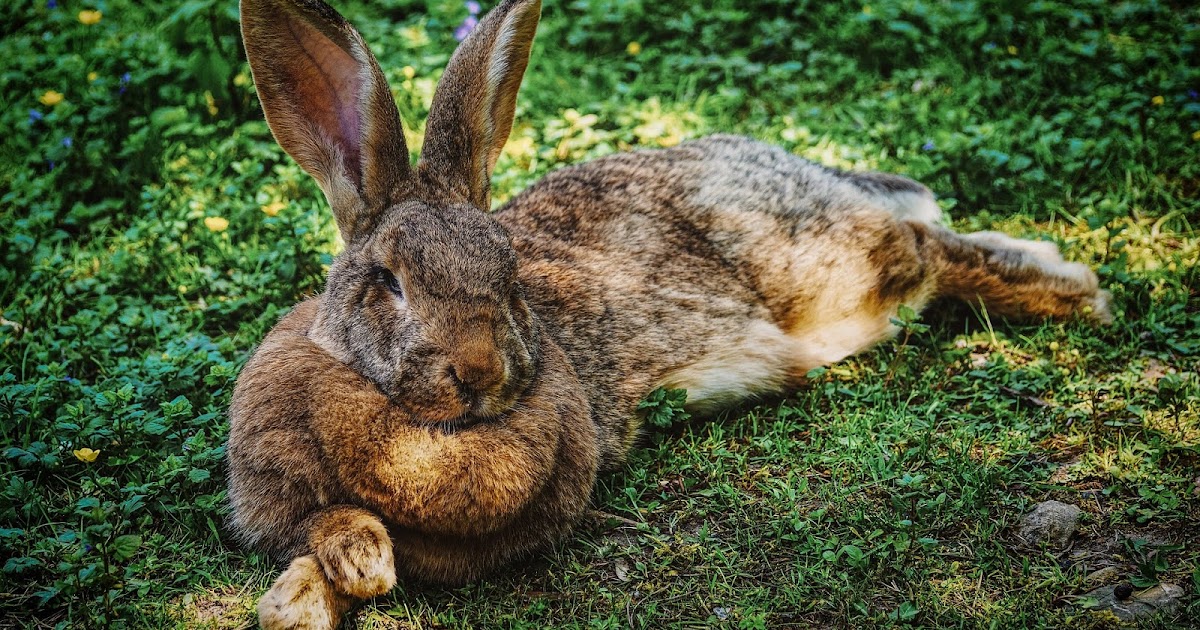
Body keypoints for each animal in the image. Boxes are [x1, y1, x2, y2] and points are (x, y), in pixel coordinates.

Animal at [229, 0, 1112, 627]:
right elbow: (321, 537)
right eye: (388, 282)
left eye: (509, 277)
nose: (479, 373)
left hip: (827, 267)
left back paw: (1074, 290)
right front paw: (318, 589)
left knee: (928, 249)